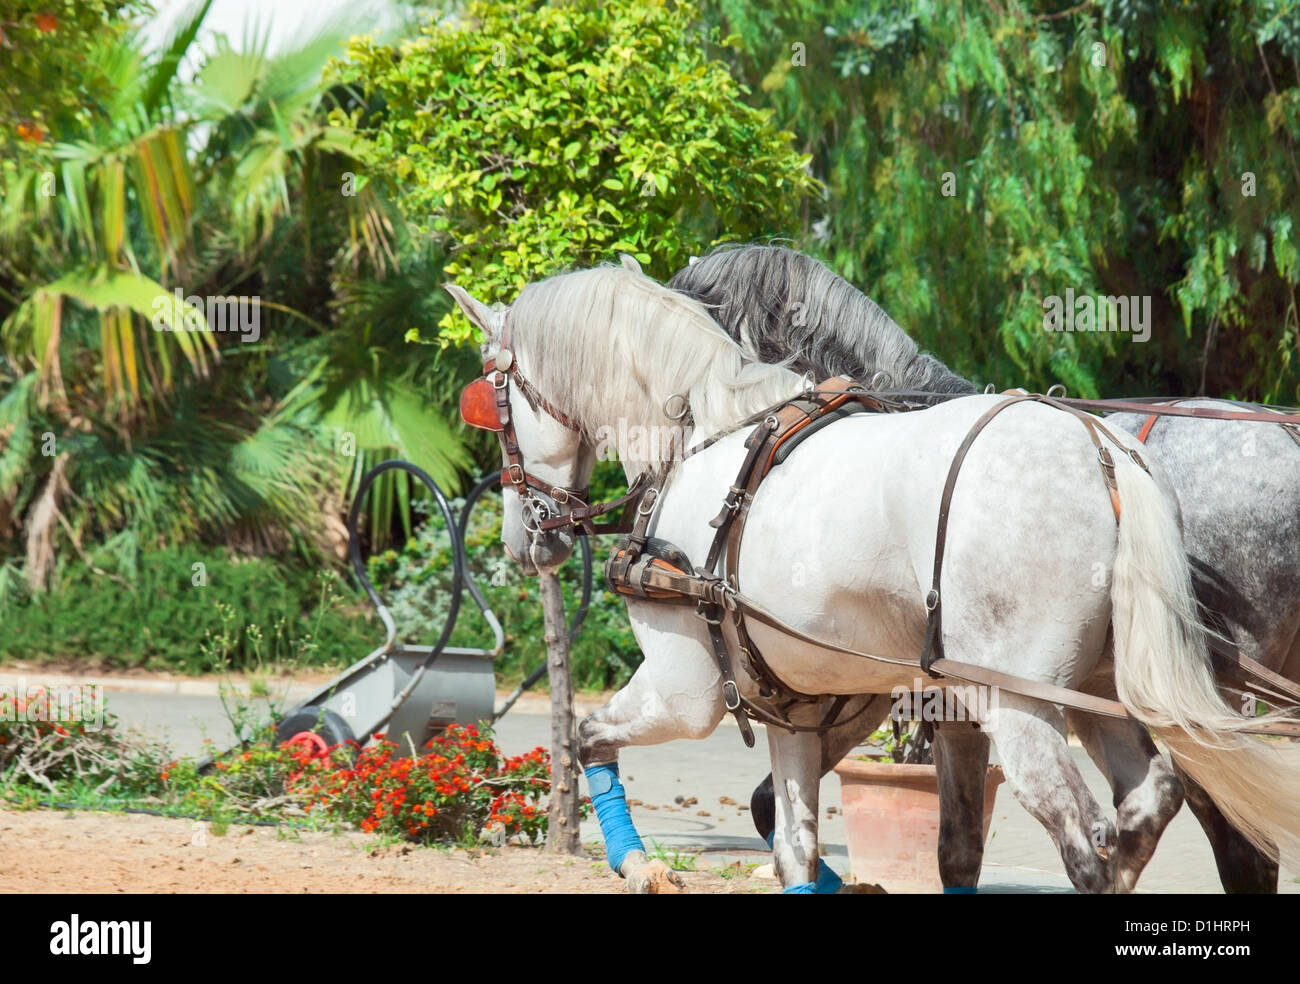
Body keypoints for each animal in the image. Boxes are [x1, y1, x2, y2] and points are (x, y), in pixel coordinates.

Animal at [447, 263, 1300, 894]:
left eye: (494, 400)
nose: (526, 535)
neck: (709, 432)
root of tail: (1103, 452)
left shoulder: (687, 691)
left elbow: (588, 735)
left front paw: (636, 861)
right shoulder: (798, 706)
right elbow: (802, 845)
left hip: (1022, 704)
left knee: (1096, 843)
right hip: (1101, 695)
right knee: (1151, 803)